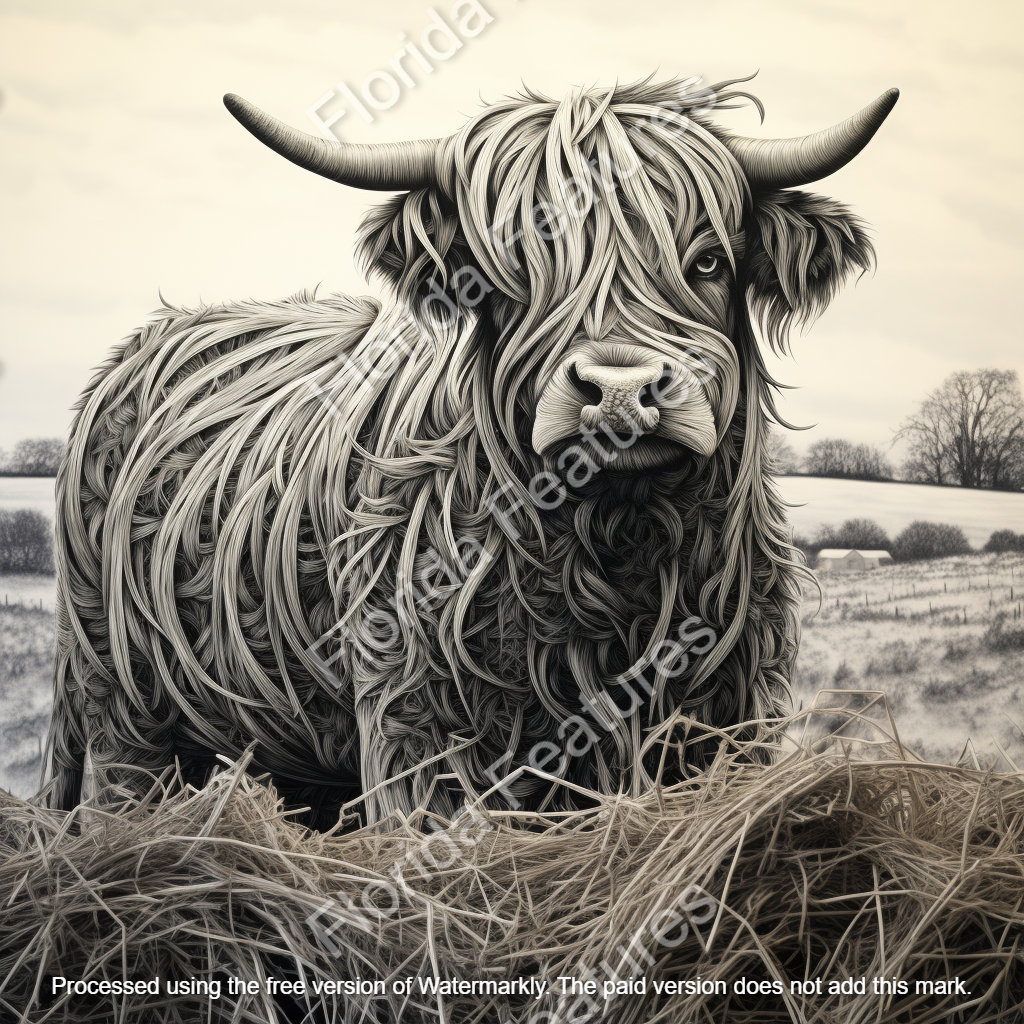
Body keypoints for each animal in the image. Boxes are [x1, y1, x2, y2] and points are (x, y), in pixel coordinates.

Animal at [44, 78, 897, 826]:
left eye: (709, 262)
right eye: (506, 273)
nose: (620, 392)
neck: (615, 555)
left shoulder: (725, 719)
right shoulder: (416, 729)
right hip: (123, 704)